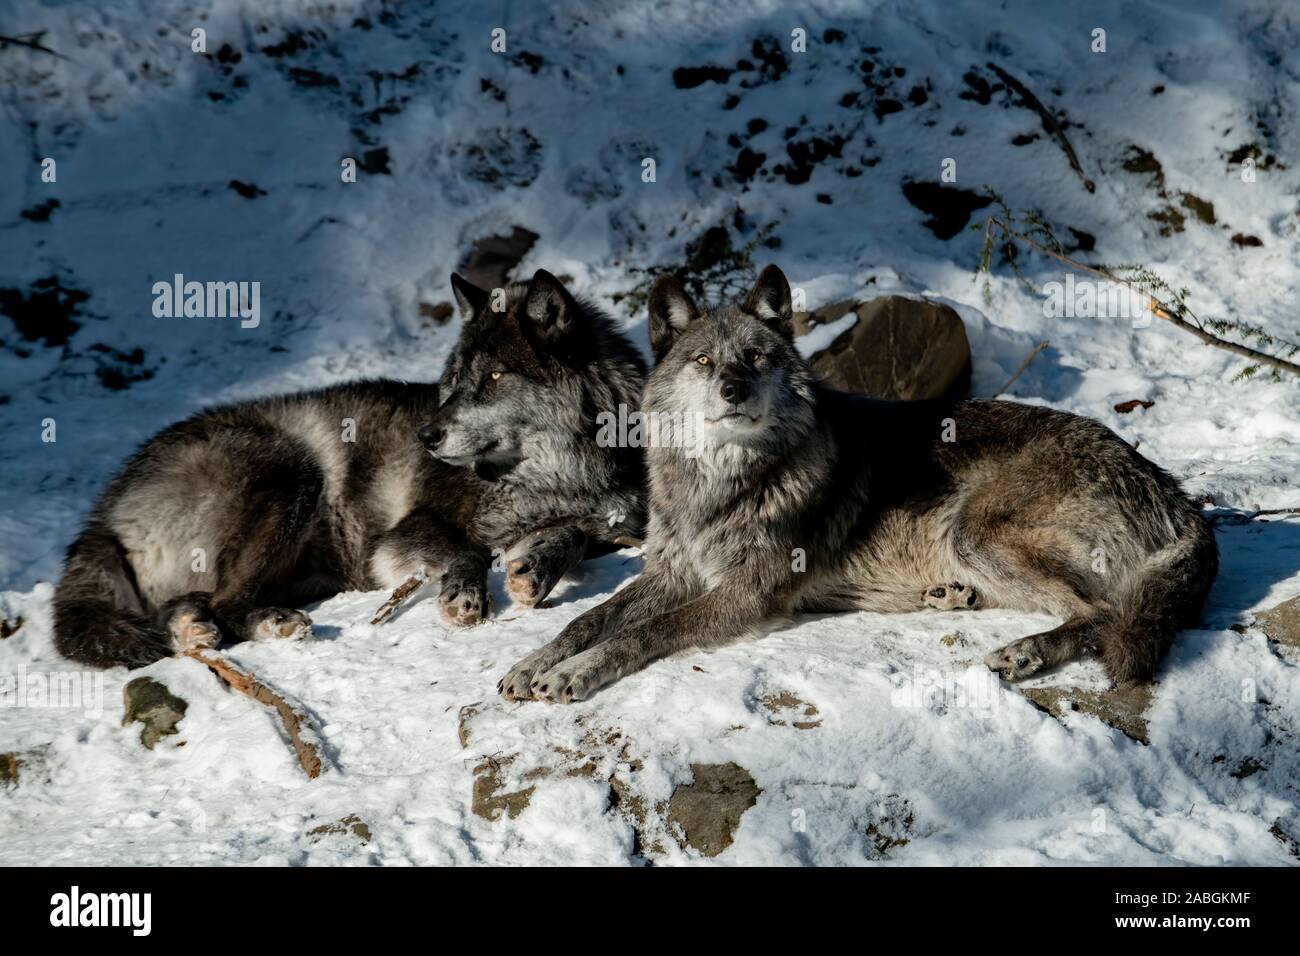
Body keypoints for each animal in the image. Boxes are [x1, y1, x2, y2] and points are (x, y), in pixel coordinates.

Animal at [54, 270, 646, 668]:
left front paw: (535, 572)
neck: (558, 477)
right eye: (456, 377)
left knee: (189, 604)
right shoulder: (405, 535)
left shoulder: (610, 526)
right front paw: (465, 594)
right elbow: (467, 550)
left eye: (498, 375)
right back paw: (268, 623)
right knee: (224, 599)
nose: (426, 435)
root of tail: (102, 514)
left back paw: (192, 630)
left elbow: (573, 535)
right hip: (291, 473)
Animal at [499, 265, 1218, 703]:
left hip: (976, 528)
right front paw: (533, 663)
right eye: (703, 360)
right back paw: (949, 597)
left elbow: (644, 633)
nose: (734, 389)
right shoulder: (673, 572)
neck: (727, 483)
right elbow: (590, 618)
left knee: (1100, 614)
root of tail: (1174, 494)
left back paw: (1024, 653)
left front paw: (574, 674)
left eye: (754, 356)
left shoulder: (744, 593)